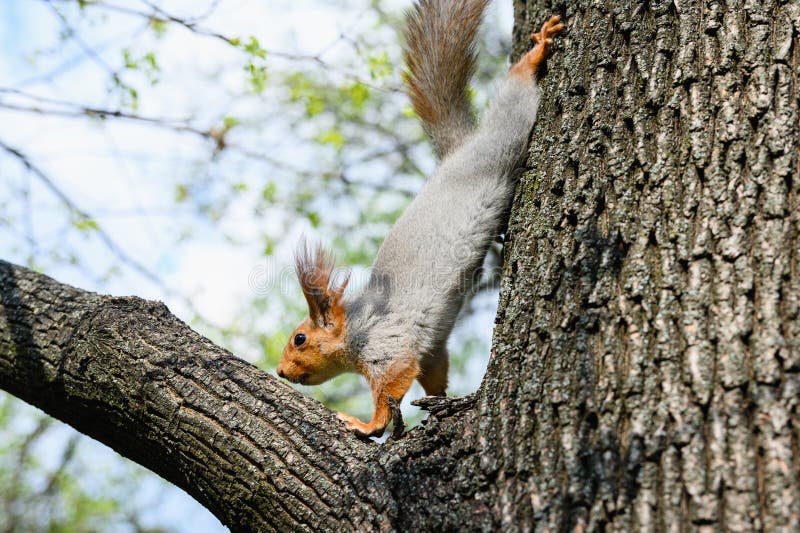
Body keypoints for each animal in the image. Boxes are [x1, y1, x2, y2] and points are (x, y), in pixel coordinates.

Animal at [276, 0, 564, 437]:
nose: (279, 371)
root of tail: (459, 151)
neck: (358, 326)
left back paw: (536, 51)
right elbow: (433, 374)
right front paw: (441, 404)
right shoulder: (431, 351)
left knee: (514, 97)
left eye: (299, 339)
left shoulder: (389, 345)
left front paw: (365, 425)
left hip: (502, 138)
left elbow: (390, 389)